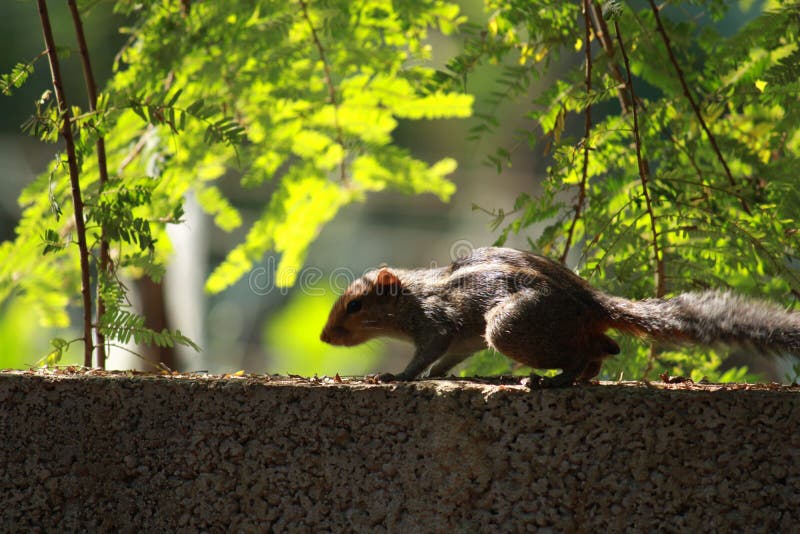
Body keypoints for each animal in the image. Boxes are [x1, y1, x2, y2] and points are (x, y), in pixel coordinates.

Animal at [320, 247, 800, 386]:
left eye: (355, 305)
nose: (325, 338)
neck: (416, 293)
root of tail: (592, 304)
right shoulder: (465, 339)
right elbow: (450, 357)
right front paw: (442, 375)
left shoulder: (437, 321)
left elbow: (428, 352)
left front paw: (398, 376)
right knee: (604, 348)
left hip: (509, 327)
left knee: (589, 352)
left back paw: (552, 381)